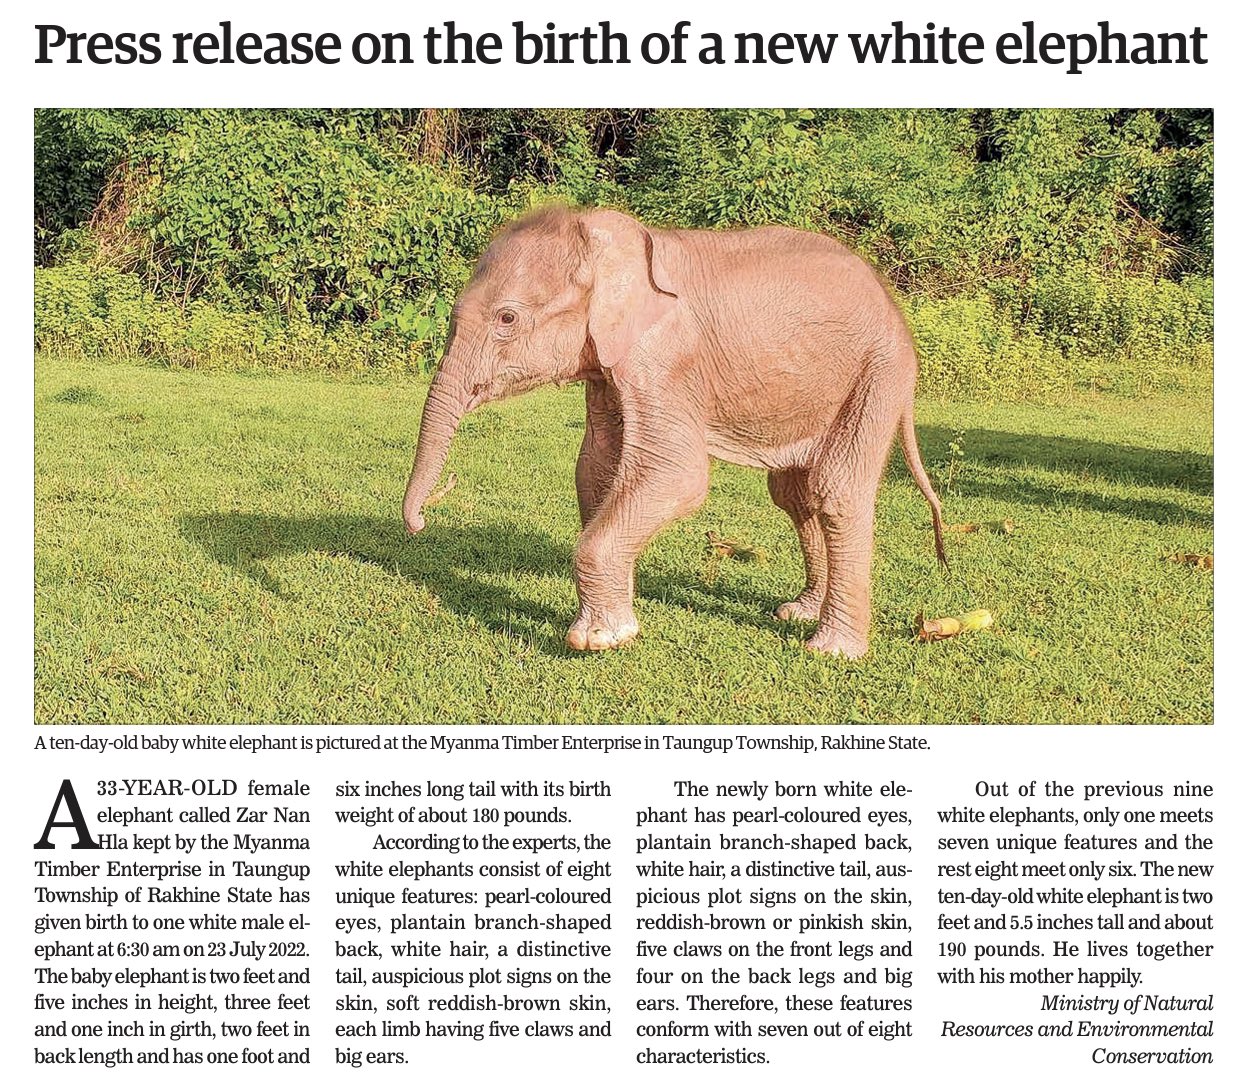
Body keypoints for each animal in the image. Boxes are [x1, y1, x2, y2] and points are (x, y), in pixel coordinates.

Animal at [402, 206, 946, 658]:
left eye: (508, 319)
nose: (420, 524)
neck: (607, 239)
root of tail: (893, 305)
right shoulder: (610, 366)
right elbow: (596, 469)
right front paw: (617, 620)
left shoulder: (665, 359)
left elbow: (677, 474)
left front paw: (597, 640)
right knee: (794, 492)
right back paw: (798, 612)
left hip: (879, 371)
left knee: (836, 490)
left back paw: (832, 650)